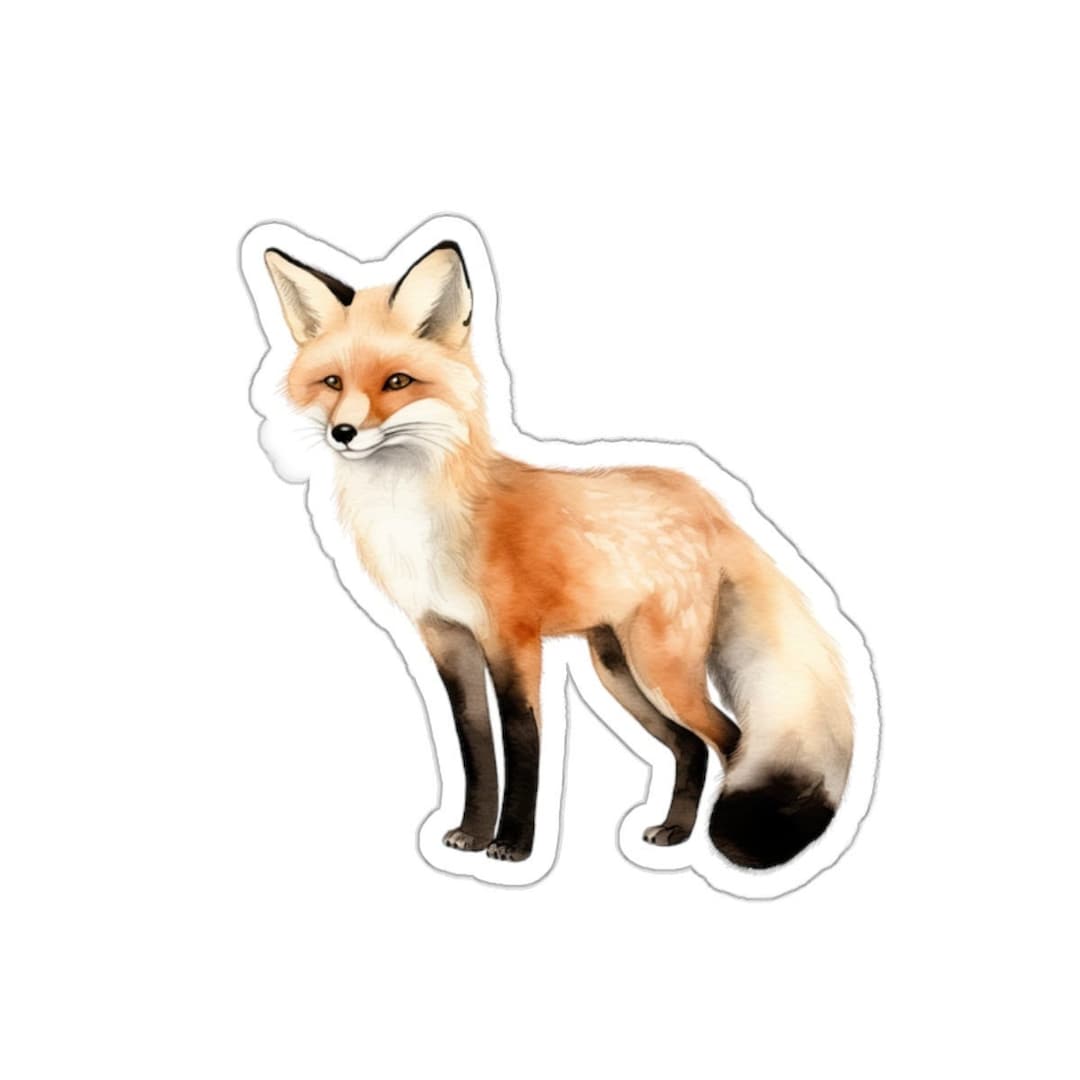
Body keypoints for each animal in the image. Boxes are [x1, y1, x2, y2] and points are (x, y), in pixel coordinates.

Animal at [254, 230, 854, 873]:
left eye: (396, 382)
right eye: (333, 383)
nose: (343, 433)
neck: (418, 522)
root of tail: (708, 502)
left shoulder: (513, 640)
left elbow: (523, 743)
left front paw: (513, 845)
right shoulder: (445, 637)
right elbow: (474, 745)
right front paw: (471, 833)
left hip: (661, 670)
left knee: (734, 740)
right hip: (618, 670)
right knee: (691, 747)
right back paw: (676, 830)